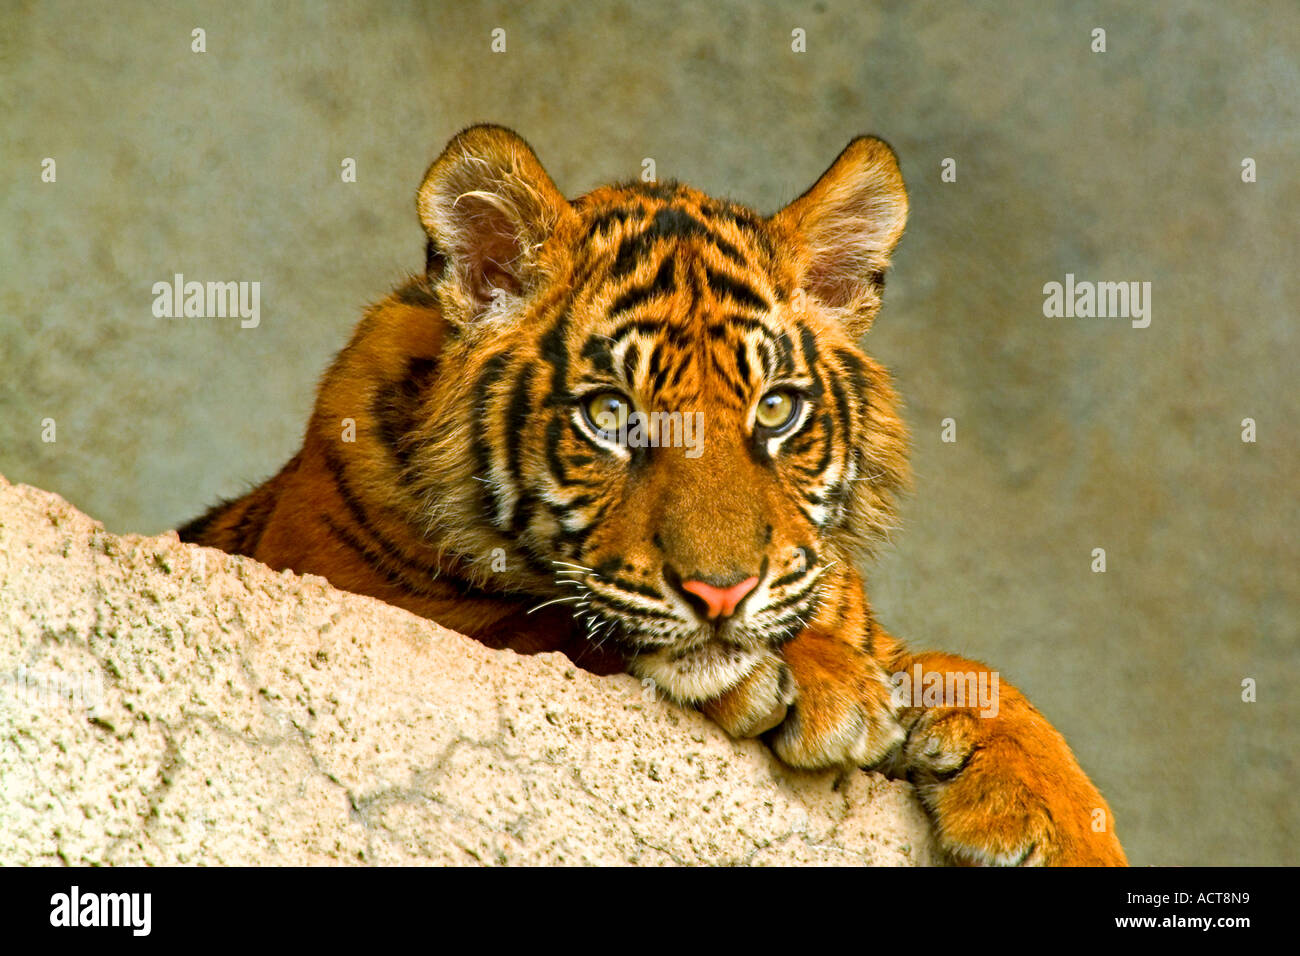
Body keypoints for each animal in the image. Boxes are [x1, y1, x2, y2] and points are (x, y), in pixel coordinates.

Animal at [179, 124, 1127, 866]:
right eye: (611, 415)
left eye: (775, 409)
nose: (722, 595)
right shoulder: (346, 589)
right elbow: (545, 627)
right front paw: (816, 682)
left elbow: (980, 677)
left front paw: (1061, 824)